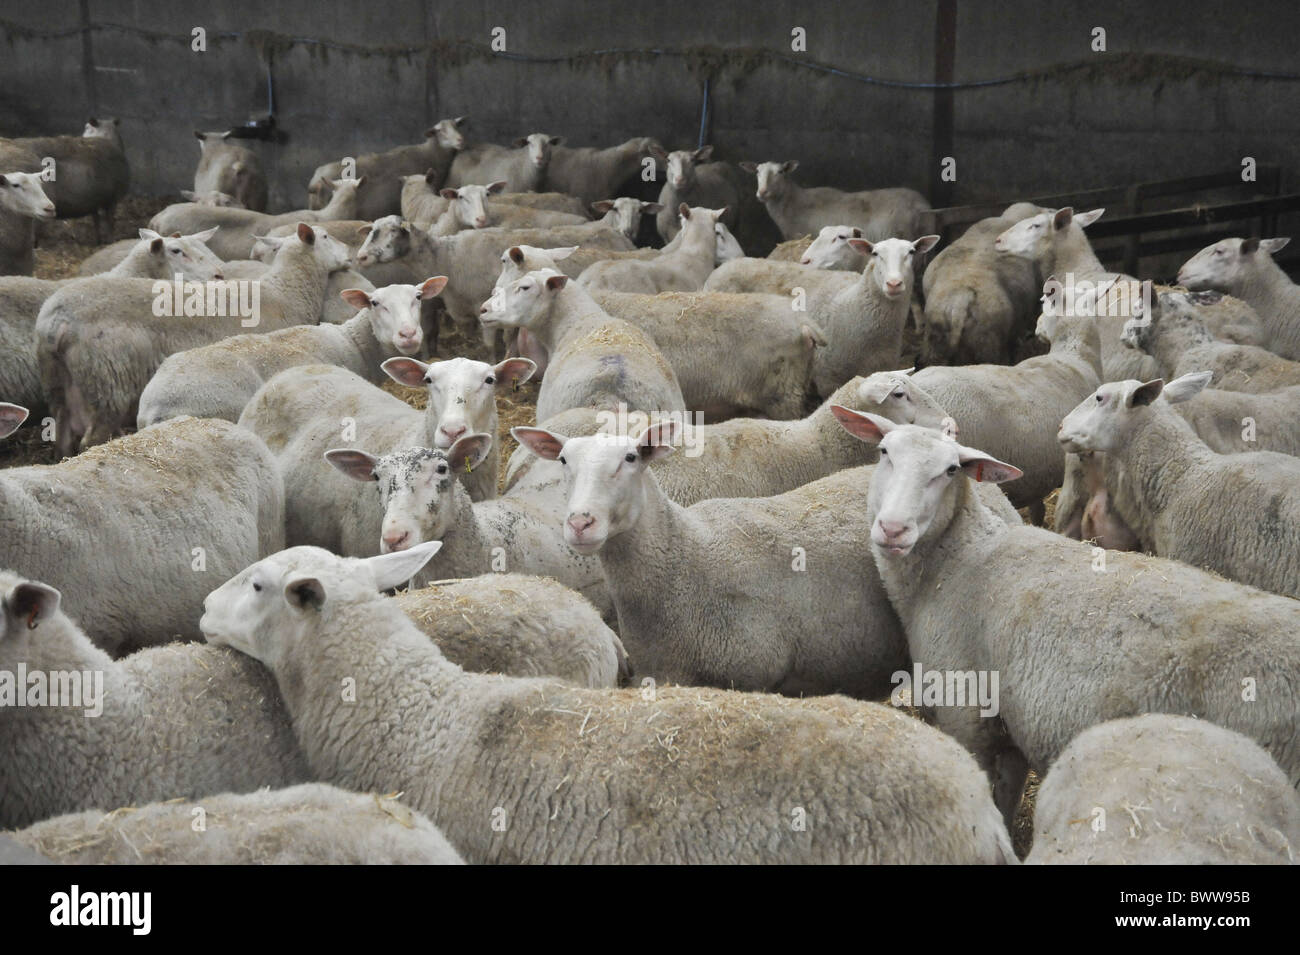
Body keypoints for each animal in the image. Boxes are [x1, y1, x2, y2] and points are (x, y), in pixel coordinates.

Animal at [37, 223, 353, 452]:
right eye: (326, 236)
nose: (350, 253)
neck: (285, 293)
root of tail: (56, 320)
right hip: (108, 383)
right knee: (91, 438)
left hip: (58, 386)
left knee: (62, 436)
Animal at [651, 145, 780, 253]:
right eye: (668, 160)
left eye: (692, 160)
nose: (680, 180)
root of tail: (713, 163)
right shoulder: (666, 237)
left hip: (737, 218)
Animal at [833, 412, 1300, 826]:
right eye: (884, 451)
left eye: (950, 470)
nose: (893, 529)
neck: (958, 560)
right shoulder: (1008, 724)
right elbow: (1007, 793)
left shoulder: (966, 716)